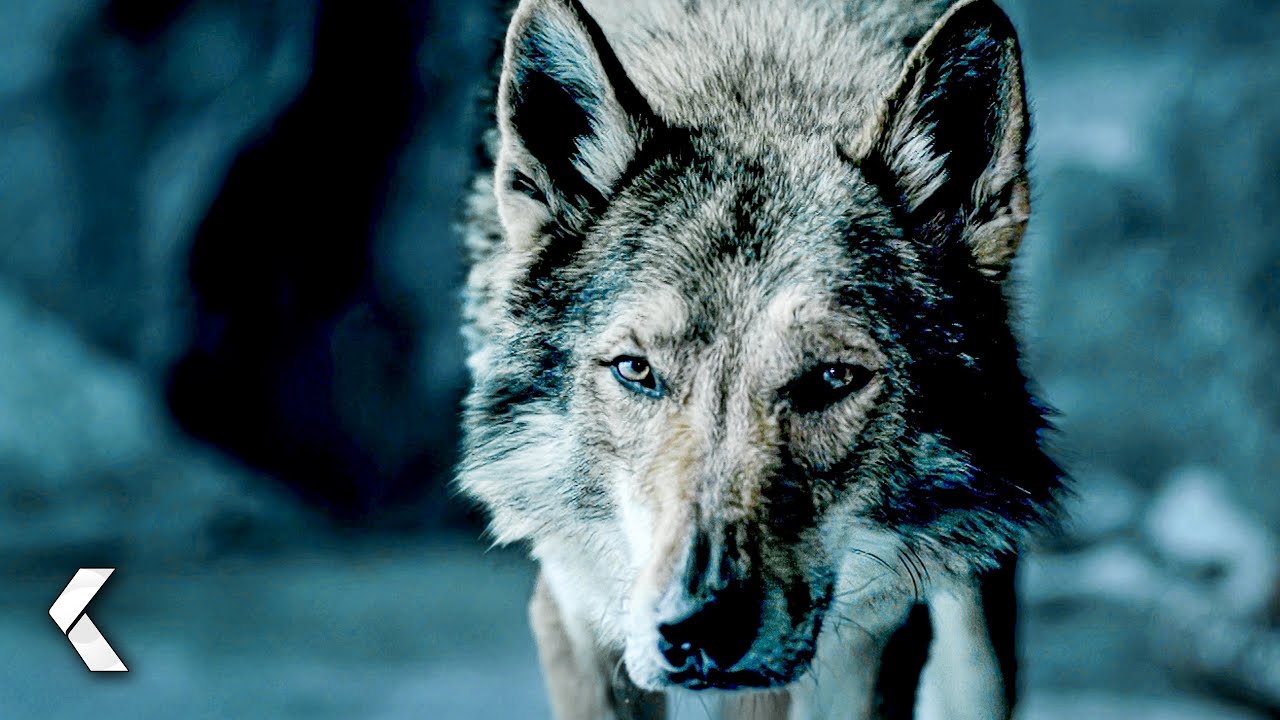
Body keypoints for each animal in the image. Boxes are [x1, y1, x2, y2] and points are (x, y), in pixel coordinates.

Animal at [457, 0, 1062, 717]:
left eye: (833, 377)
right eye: (636, 370)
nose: (699, 628)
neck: (757, 82)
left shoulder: (878, 631)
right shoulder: (576, 606)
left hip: (974, 652)